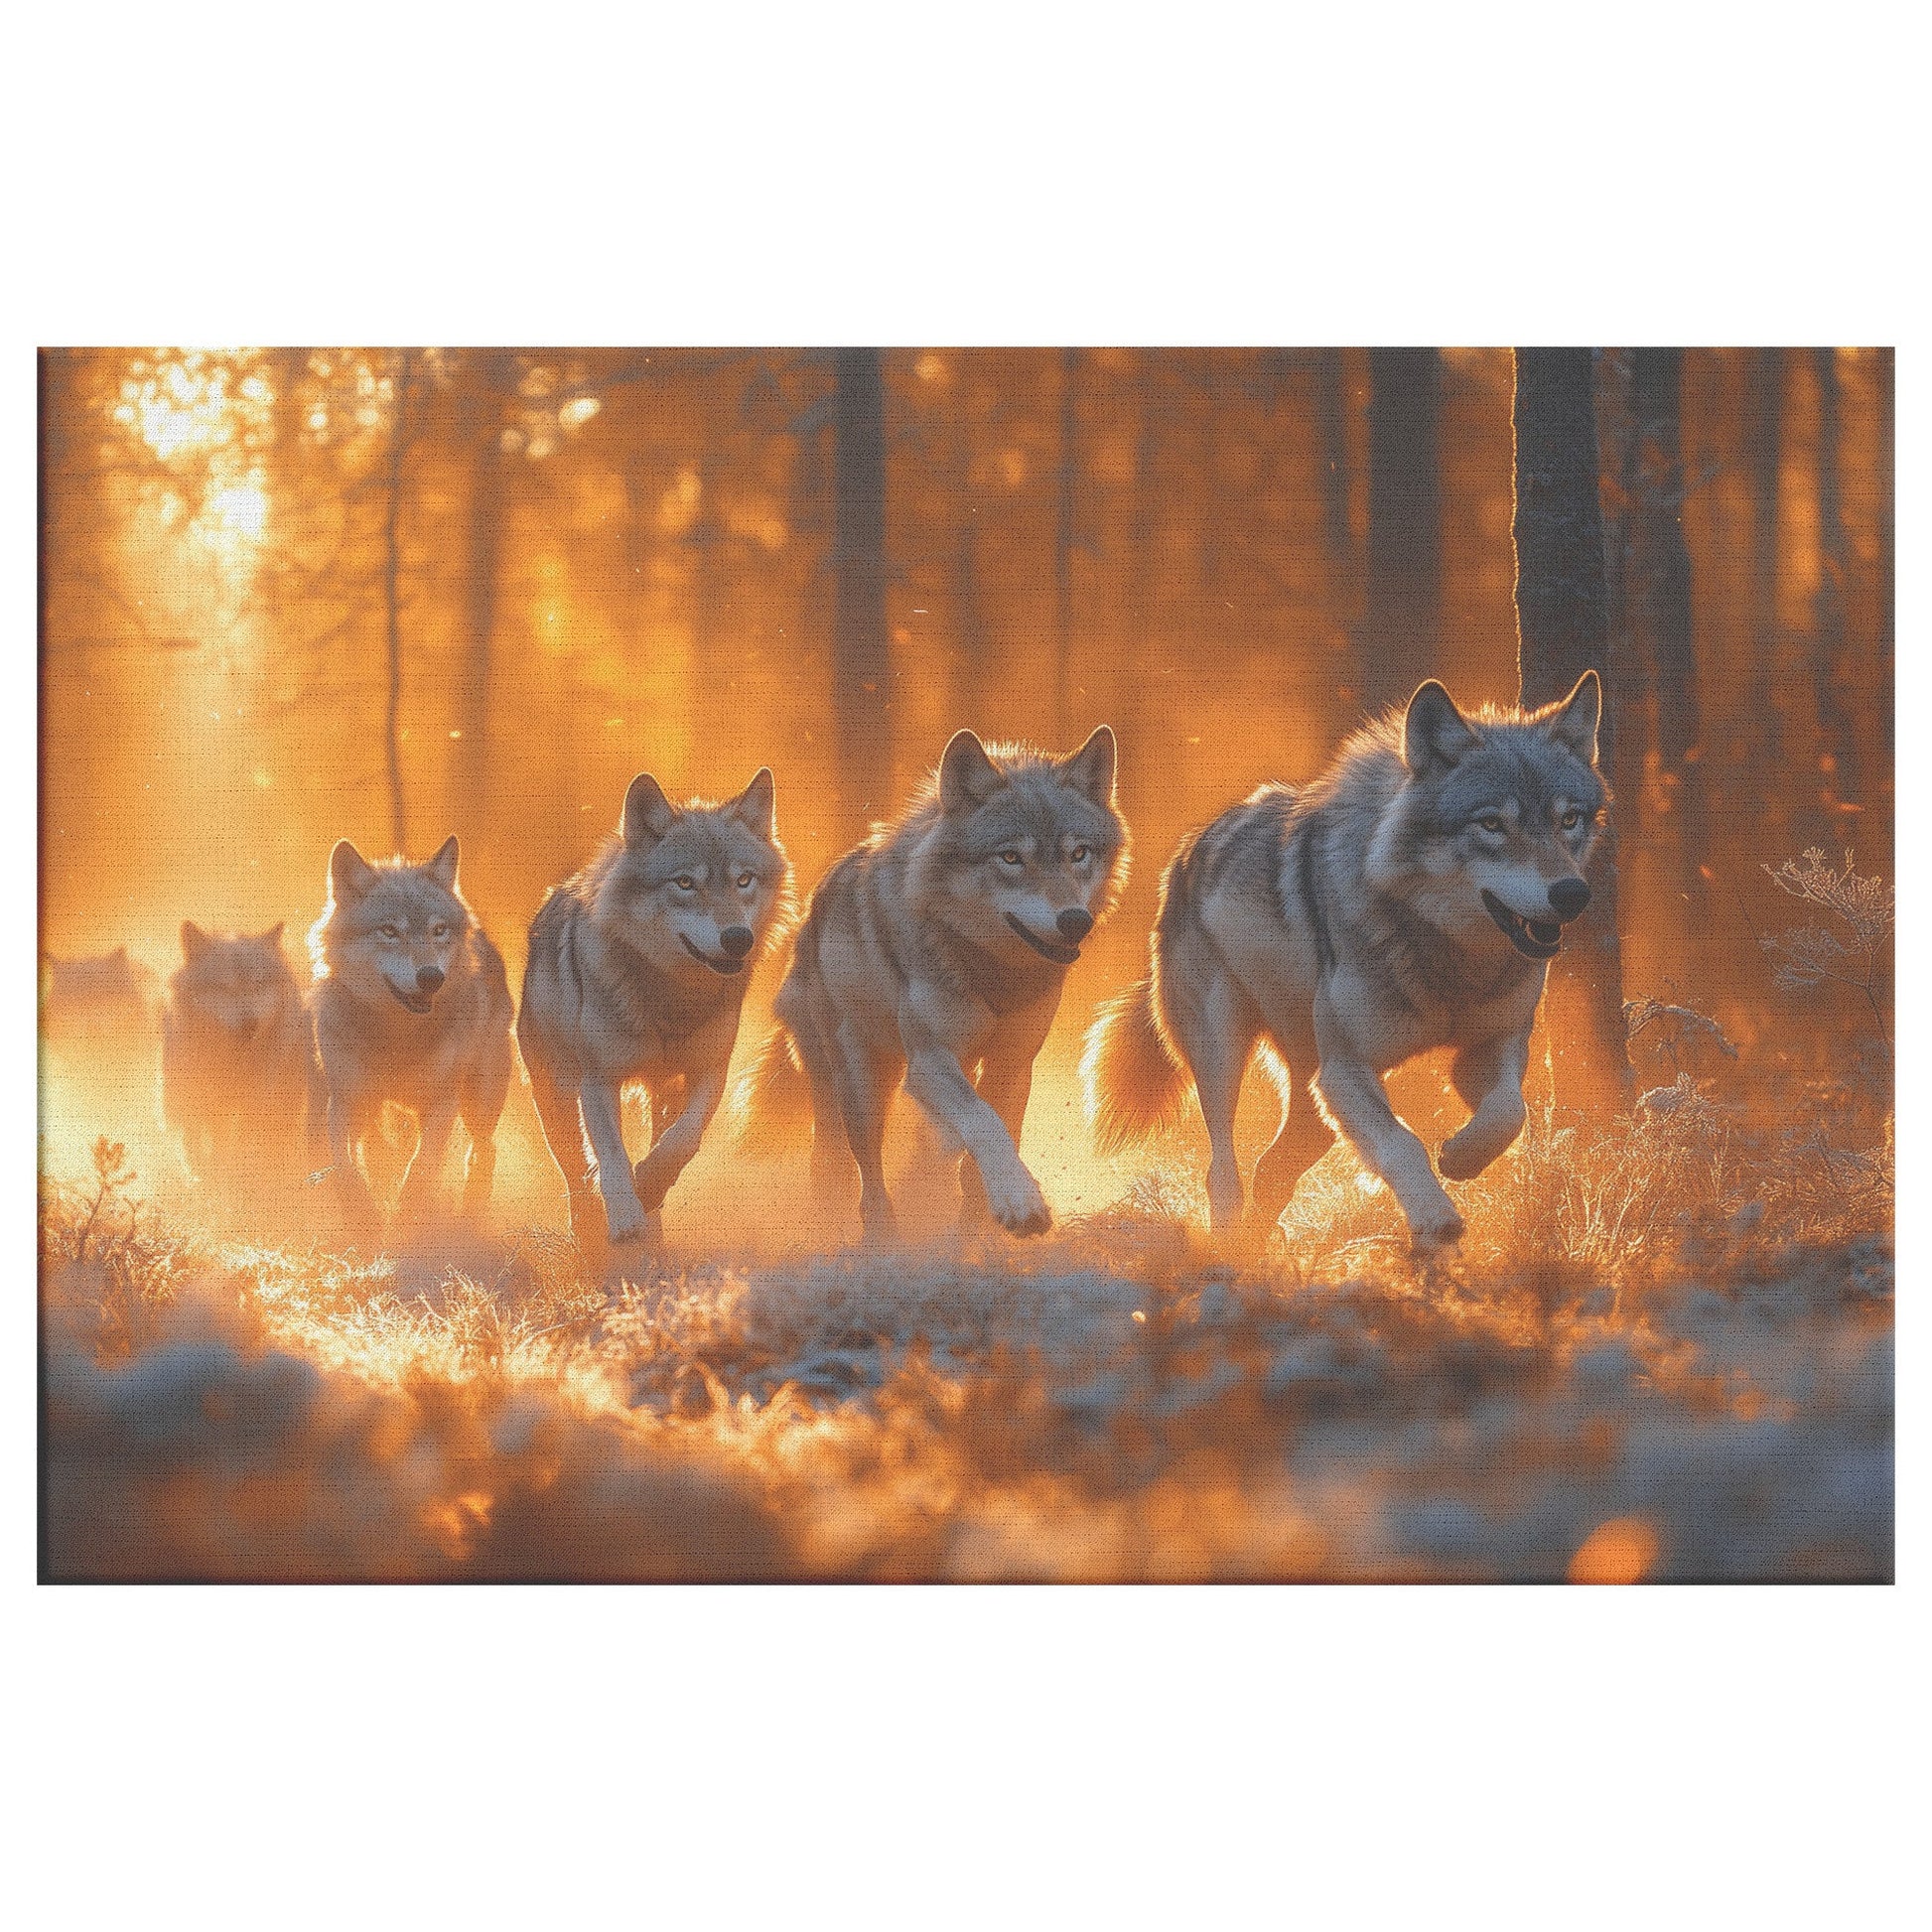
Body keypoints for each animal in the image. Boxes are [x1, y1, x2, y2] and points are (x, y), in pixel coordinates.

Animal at [161, 922, 320, 1189]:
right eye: (225, 988)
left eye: (257, 986)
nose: (250, 1025)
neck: (228, 1063)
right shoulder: (194, 1103)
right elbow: (198, 1149)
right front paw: (204, 1179)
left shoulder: (252, 1104)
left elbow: (237, 1150)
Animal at [307, 836, 514, 1247]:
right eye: (389, 931)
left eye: (438, 931)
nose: (432, 977)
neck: (396, 1039)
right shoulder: (346, 1101)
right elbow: (345, 1165)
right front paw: (363, 1217)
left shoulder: (442, 1103)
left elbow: (421, 1166)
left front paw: (406, 1218)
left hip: (479, 1102)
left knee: (483, 1149)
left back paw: (469, 1215)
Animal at [518, 769, 790, 1249]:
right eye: (684, 883)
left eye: (743, 880)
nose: (738, 938)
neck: (671, 997)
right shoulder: (598, 1079)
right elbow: (611, 1155)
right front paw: (625, 1216)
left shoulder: (708, 1073)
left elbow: (682, 1141)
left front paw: (649, 1187)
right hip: (553, 1094)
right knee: (572, 1171)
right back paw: (588, 1228)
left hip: (661, 1092)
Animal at [739, 727, 1128, 1240]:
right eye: (1011, 857)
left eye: (1078, 854)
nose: (1075, 921)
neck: (991, 972)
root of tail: (811, 910)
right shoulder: (929, 1061)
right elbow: (983, 1121)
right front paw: (1021, 1203)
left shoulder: (1013, 1062)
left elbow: (989, 1143)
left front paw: (983, 1227)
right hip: (862, 1083)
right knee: (856, 1171)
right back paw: (873, 1236)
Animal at [1083, 674, 1607, 1247]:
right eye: (1491, 824)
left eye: (1569, 819)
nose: (1573, 894)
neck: (1448, 959)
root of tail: (1186, 849)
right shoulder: (1345, 1070)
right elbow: (1402, 1144)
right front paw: (1435, 1218)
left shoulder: (1491, 1046)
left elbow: (1511, 1112)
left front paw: (1460, 1157)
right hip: (1230, 1056)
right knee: (1223, 1172)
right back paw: (1230, 1246)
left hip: (1312, 1105)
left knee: (1271, 1170)